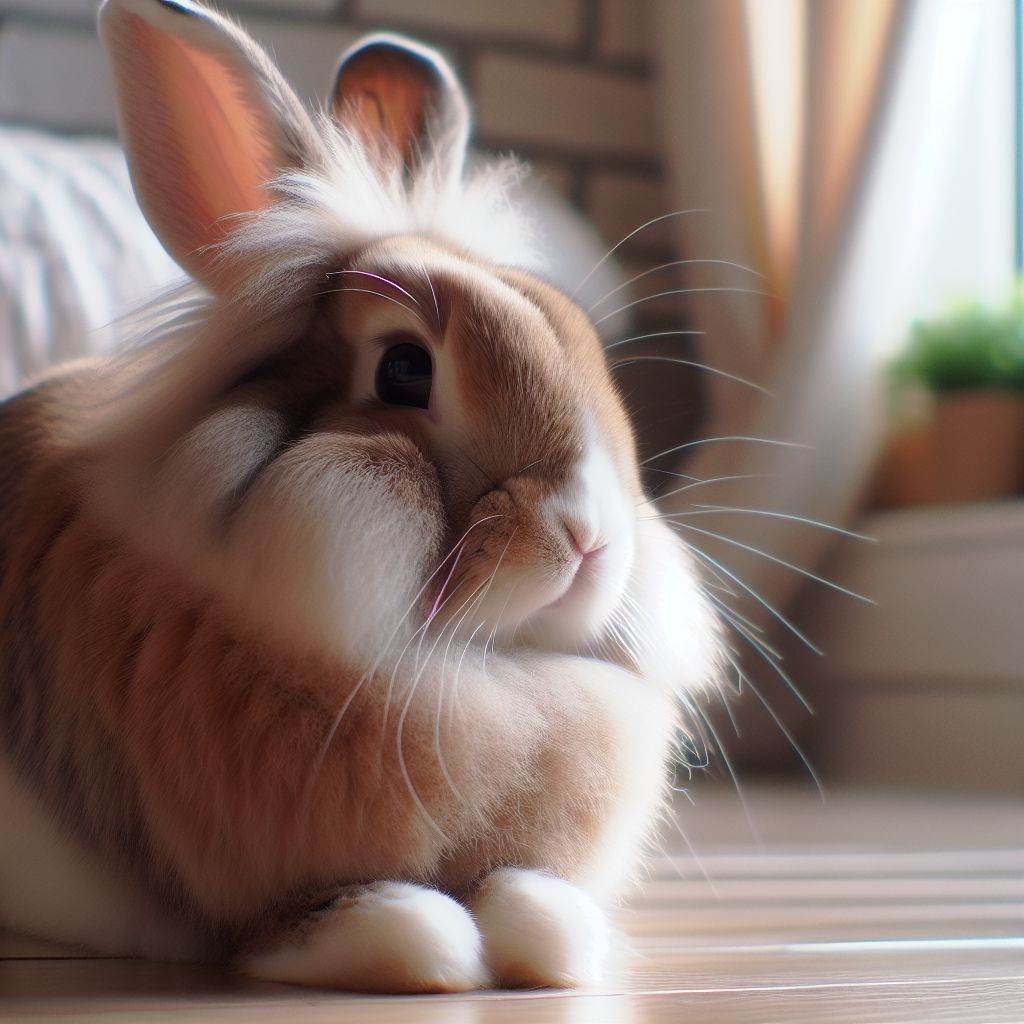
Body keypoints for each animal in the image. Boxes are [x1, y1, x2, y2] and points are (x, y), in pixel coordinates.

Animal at [0, 0, 723, 994]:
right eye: (405, 369)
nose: (589, 539)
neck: (473, 667)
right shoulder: (250, 903)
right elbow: (346, 926)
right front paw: (436, 945)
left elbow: (527, 894)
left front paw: (552, 937)